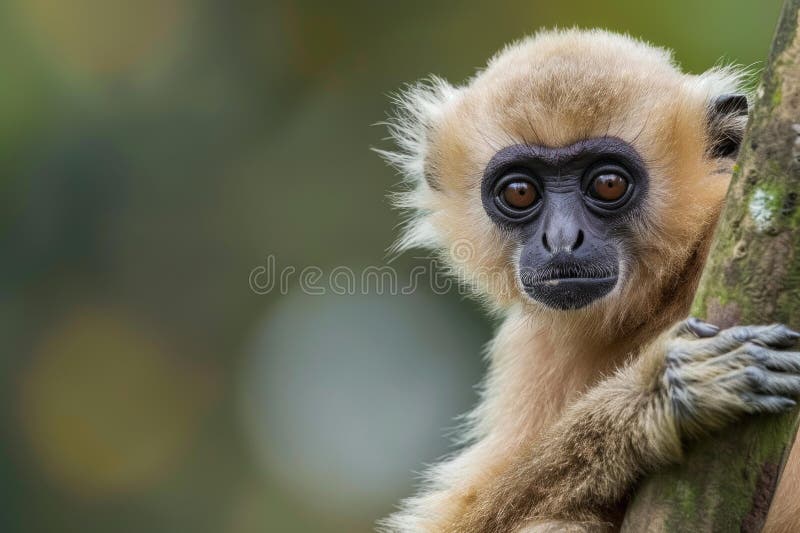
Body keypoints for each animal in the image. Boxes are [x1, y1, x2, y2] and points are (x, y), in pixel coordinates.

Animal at [376, 29, 800, 533]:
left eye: (608, 184)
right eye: (520, 192)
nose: (561, 240)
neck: (671, 285)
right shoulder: (531, 344)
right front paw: (657, 393)